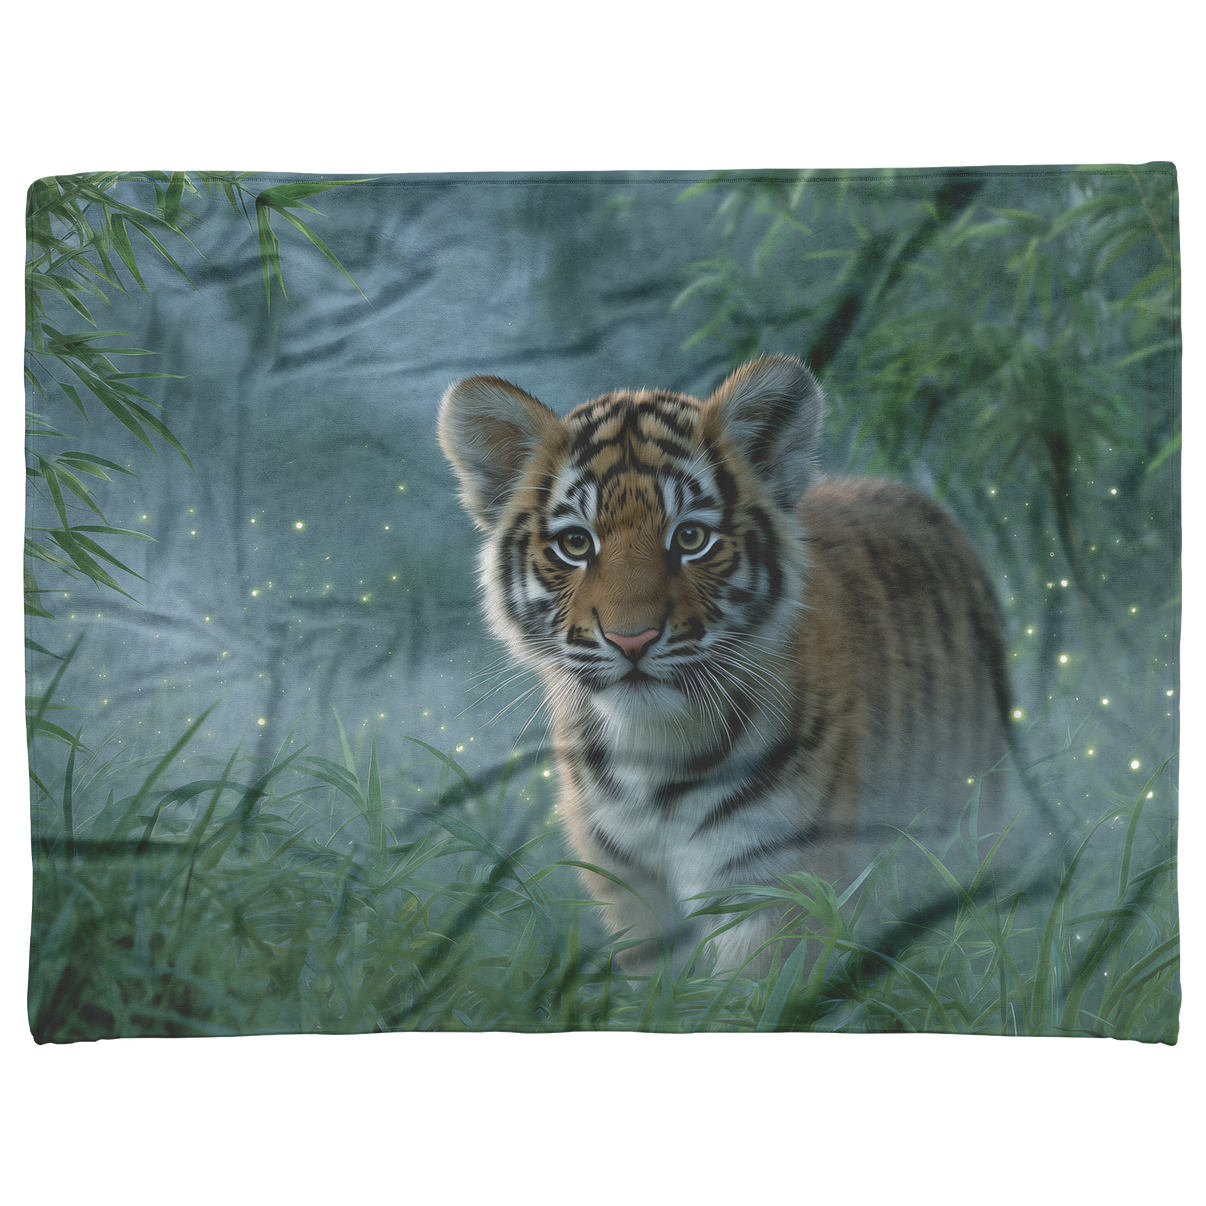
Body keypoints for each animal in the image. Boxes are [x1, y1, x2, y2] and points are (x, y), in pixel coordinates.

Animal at [438, 354, 1011, 977]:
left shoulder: (775, 880)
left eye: (691, 537)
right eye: (576, 544)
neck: (651, 754)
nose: (632, 639)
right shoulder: (629, 889)